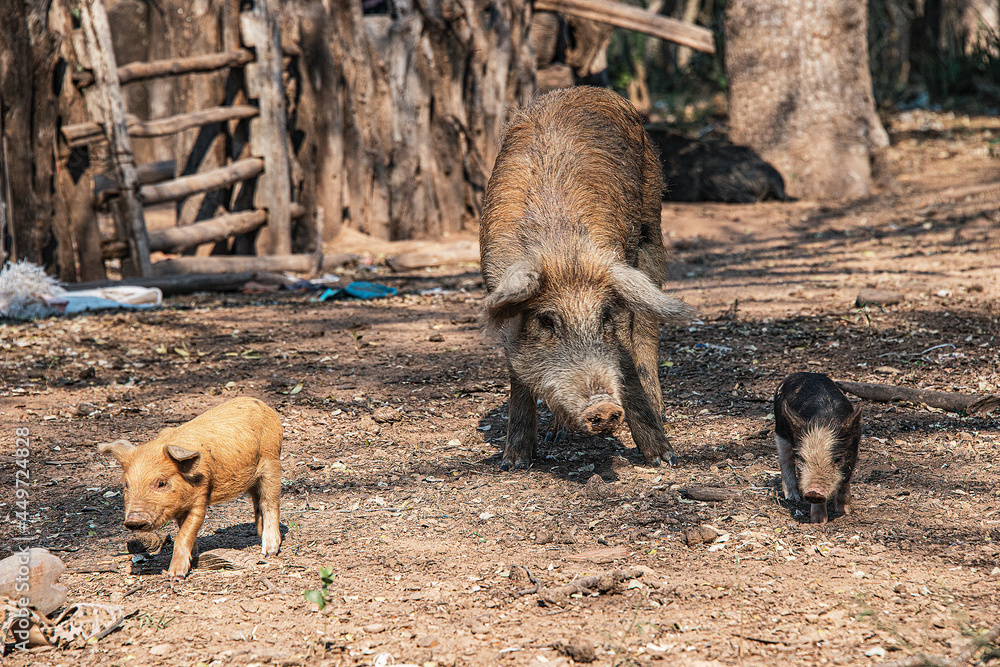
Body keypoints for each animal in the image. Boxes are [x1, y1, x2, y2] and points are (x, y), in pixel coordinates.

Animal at [98, 397, 282, 579]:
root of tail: (264, 406)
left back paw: (268, 552)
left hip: (271, 461)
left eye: (161, 483)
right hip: (252, 479)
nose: (134, 520)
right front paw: (193, 554)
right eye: (126, 484)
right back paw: (258, 534)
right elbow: (182, 530)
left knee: (269, 503)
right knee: (257, 500)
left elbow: (185, 533)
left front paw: (175, 576)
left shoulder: (200, 498)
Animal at [479, 86, 696, 471]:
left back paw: (660, 415)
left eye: (603, 316)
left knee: (647, 328)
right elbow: (517, 375)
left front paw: (664, 458)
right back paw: (558, 434)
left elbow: (626, 360)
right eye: (546, 320)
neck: (563, 254)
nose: (605, 409)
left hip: (650, 231)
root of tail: (583, 89)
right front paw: (514, 462)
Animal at [773, 372, 862, 523]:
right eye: (801, 459)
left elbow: (844, 482)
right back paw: (792, 497)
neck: (824, 422)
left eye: (838, 459)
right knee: (785, 460)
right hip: (780, 432)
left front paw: (844, 512)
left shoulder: (853, 452)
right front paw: (818, 522)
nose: (814, 492)